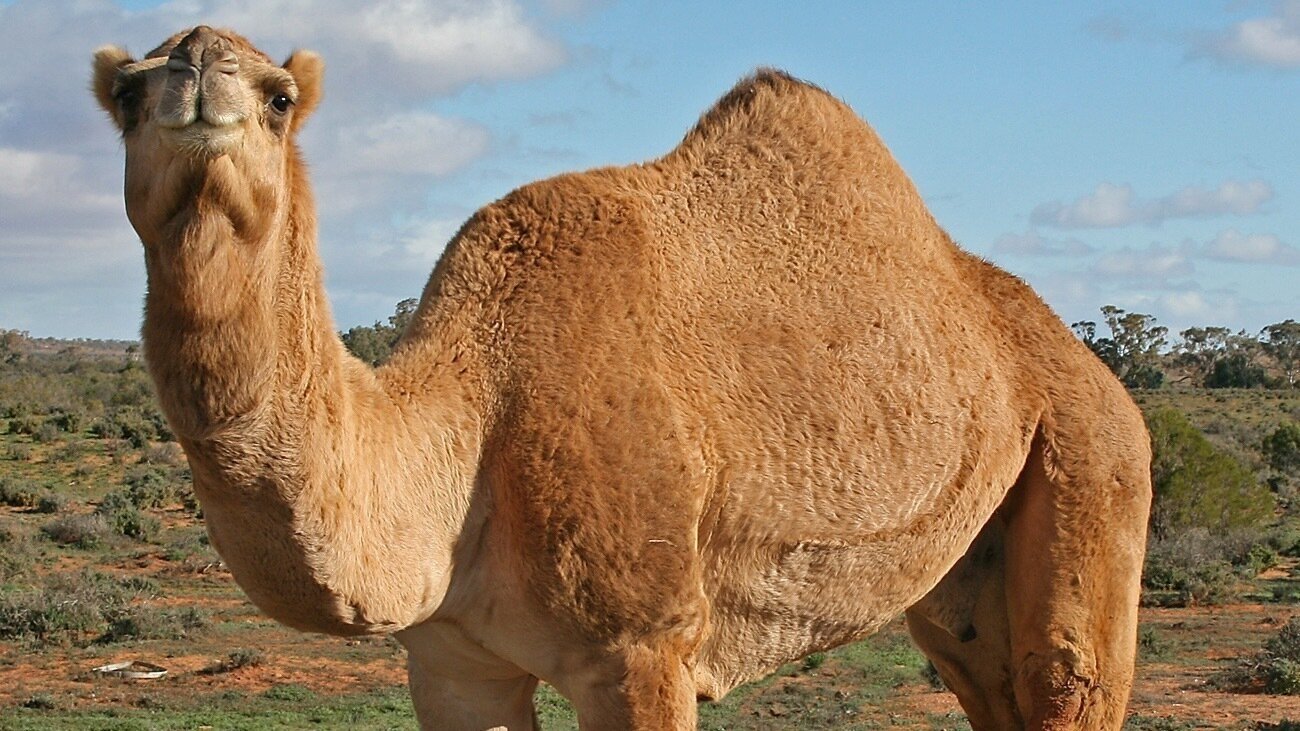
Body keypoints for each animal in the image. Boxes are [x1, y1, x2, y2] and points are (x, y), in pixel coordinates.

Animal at [92, 26, 1152, 730]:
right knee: (991, 676)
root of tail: (1101, 378)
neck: (467, 429)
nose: (198, 66)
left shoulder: (642, 645)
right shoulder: (450, 657)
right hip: (967, 563)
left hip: (1092, 461)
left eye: (279, 96)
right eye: (126, 94)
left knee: (1066, 674)